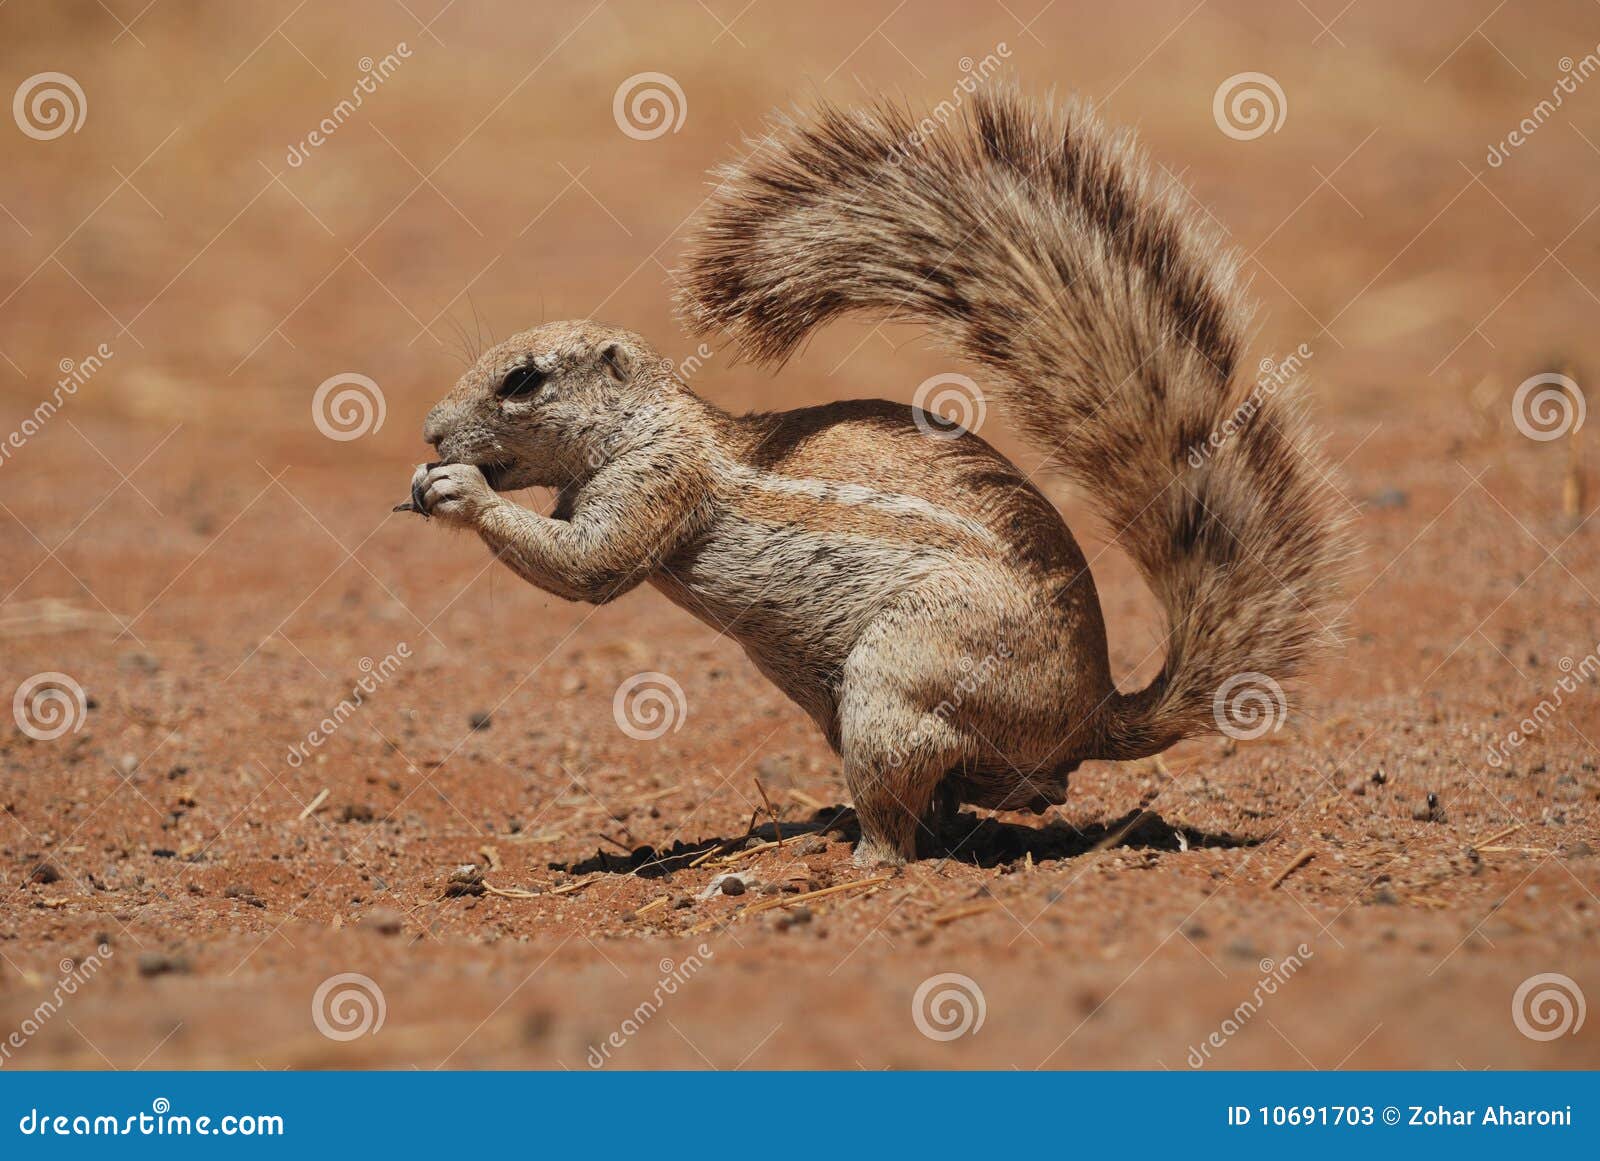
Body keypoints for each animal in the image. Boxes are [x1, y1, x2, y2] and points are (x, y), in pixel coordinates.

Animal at [408, 89, 1348, 865]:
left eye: (522, 379)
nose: (430, 433)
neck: (651, 422)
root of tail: (1094, 711)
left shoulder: (659, 483)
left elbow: (591, 566)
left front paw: (460, 492)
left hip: (896, 682)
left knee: (910, 824)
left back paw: (850, 855)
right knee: (975, 798)